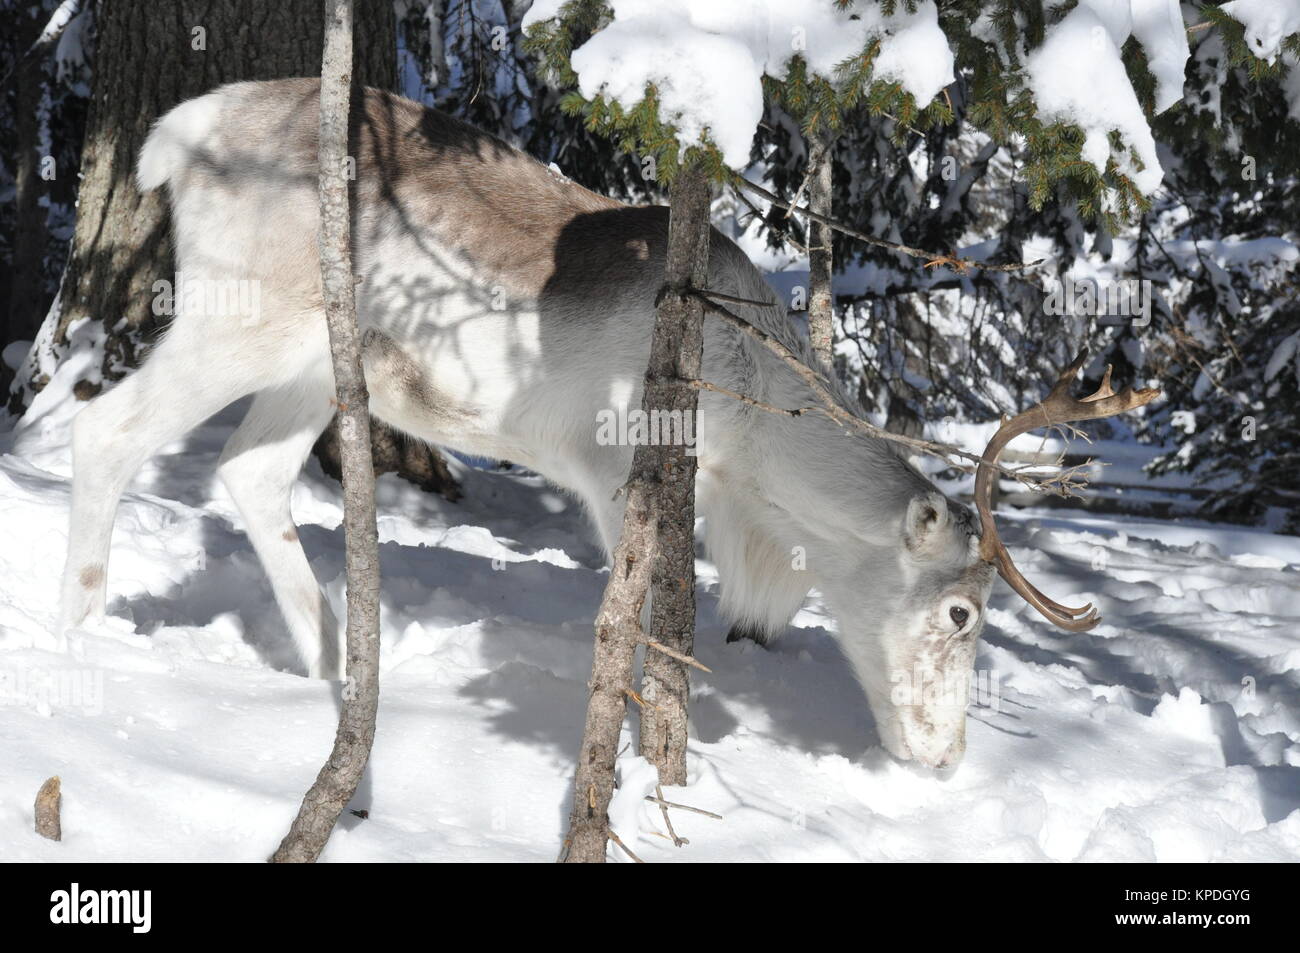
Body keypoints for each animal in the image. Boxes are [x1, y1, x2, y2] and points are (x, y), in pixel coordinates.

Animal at [56, 78, 1157, 769]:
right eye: (961, 612)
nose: (943, 756)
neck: (755, 444)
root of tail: (170, 137)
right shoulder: (622, 467)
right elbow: (631, 628)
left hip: (316, 366)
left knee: (246, 471)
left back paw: (339, 666)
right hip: (238, 321)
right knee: (104, 427)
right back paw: (82, 630)